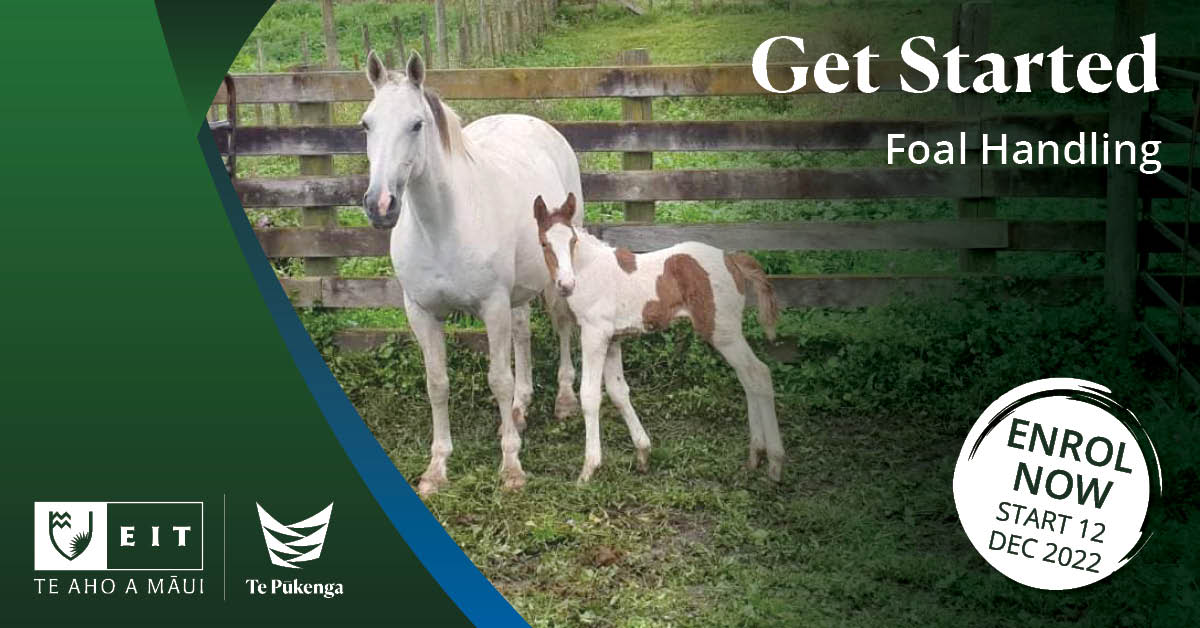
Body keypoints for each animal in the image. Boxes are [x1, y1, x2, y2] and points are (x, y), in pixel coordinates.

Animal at [360, 50, 583, 496]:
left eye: (416, 124)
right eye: (366, 124)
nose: (380, 205)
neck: (443, 225)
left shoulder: (491, 306)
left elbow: (498, 379)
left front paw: (511, 466)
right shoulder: (421, 312)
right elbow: (437, 383)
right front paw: (437, 467)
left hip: (555, 277)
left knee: (563, 324)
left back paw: (564, 401)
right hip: (518, 291)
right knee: (522, 333)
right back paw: (519, 408)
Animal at [533, 194, 785, 483]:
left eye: (572, 241)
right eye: (544, 243)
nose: (566, 285)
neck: (589, 270)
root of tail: (731, 259)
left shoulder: (594, 335)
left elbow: (590, 395)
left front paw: (589, 469)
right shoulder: (613, 339)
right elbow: (619, 392)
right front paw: (643, 453)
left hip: (723, 331)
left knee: (759, 374)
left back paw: (775, 463)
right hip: (728, 333)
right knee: (748, 379)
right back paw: (755, 455)